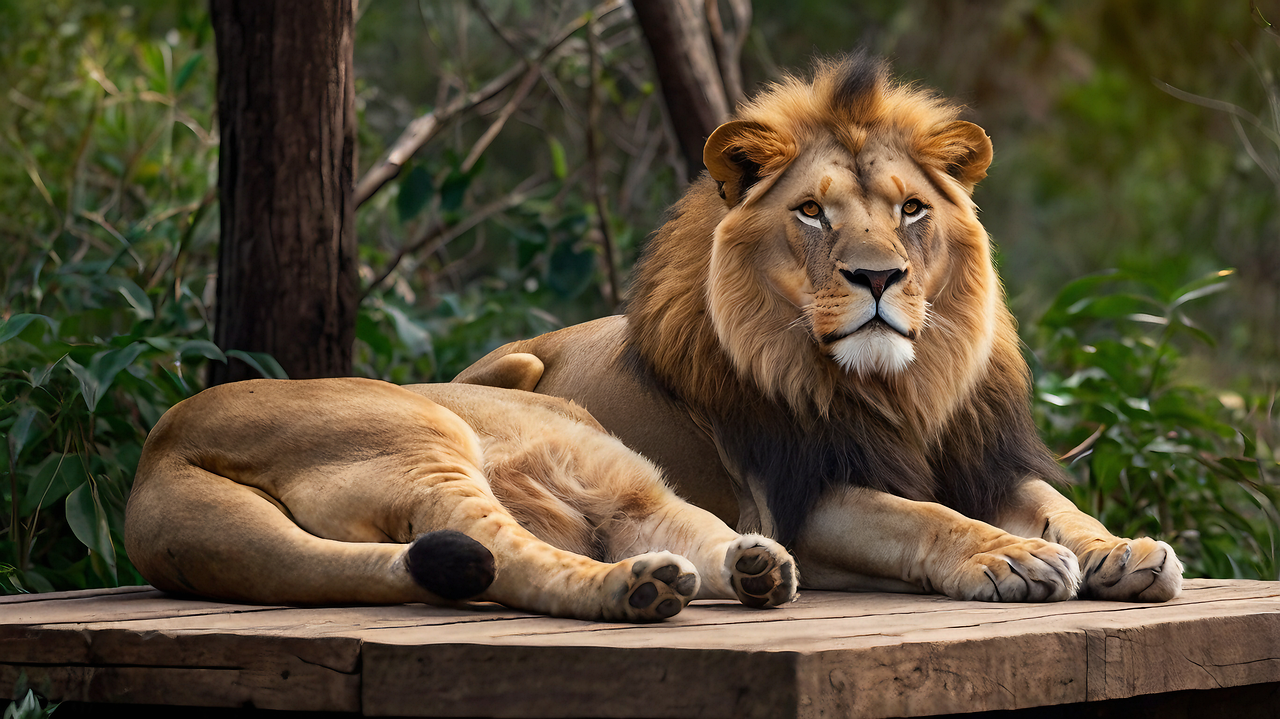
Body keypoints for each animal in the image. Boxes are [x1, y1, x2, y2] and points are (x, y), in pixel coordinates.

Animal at [124, 378, 797, 621]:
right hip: (423, 440)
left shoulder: (634, 509)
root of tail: (159, 464)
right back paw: (640, 589)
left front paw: (757, 568)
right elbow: (700, 526)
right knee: (513, 556)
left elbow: (710, 536)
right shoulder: (627, 494)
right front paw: (758, 565)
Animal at [456, 53, 1183, 603]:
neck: (899, 389)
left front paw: (1121, 550)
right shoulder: (793, 502)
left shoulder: (984, 462)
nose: (878, 277)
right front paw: (1011, 557)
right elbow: (923, 516)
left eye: (911, 209)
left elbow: (1059, 506)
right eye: (811, 211)